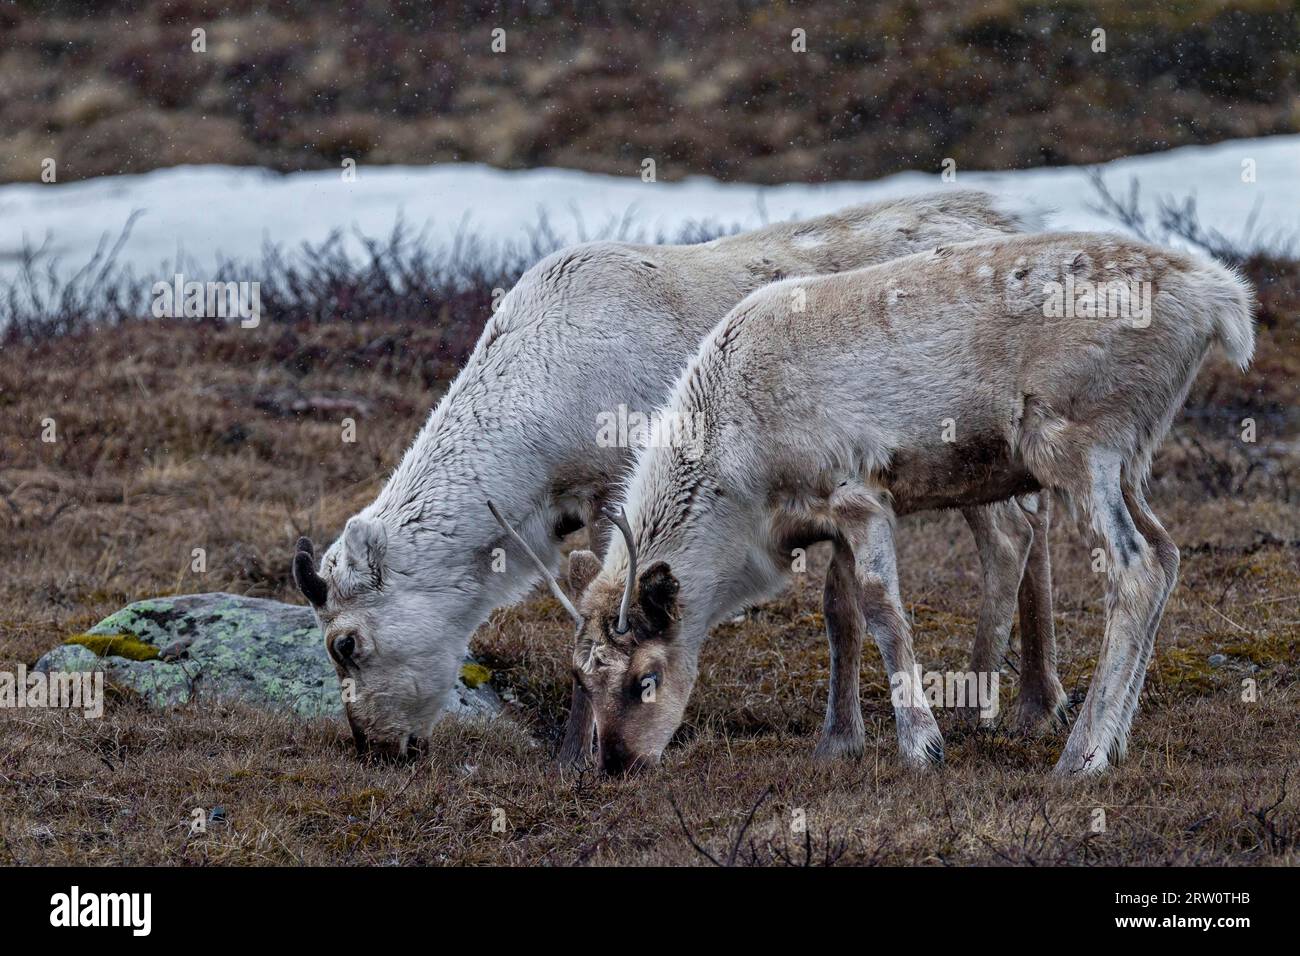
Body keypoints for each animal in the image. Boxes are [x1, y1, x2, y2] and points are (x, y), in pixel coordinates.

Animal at [291, 190, 1066, 759]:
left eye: (345, 643)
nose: (373, 746)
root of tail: (1008, 219)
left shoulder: (619, 492)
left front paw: (573, 753)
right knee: (1040, 531)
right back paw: (1042, 702)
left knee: (1010, 541)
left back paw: (983, 706)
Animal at [516, 231, 1253, 776]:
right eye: (581, 676)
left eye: (645, 677)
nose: (616, 764)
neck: (742, 486)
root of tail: (1219, 300)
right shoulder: (826, 518)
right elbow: (840, 615)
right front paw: (839, 741)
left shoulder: (858, 492)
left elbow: (882, 611)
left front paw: (921, 744)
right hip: (1130, 457)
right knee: (1168, 553)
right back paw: (1116, 738)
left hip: (1077, 442)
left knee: (1136, 569)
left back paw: (1084, 756)